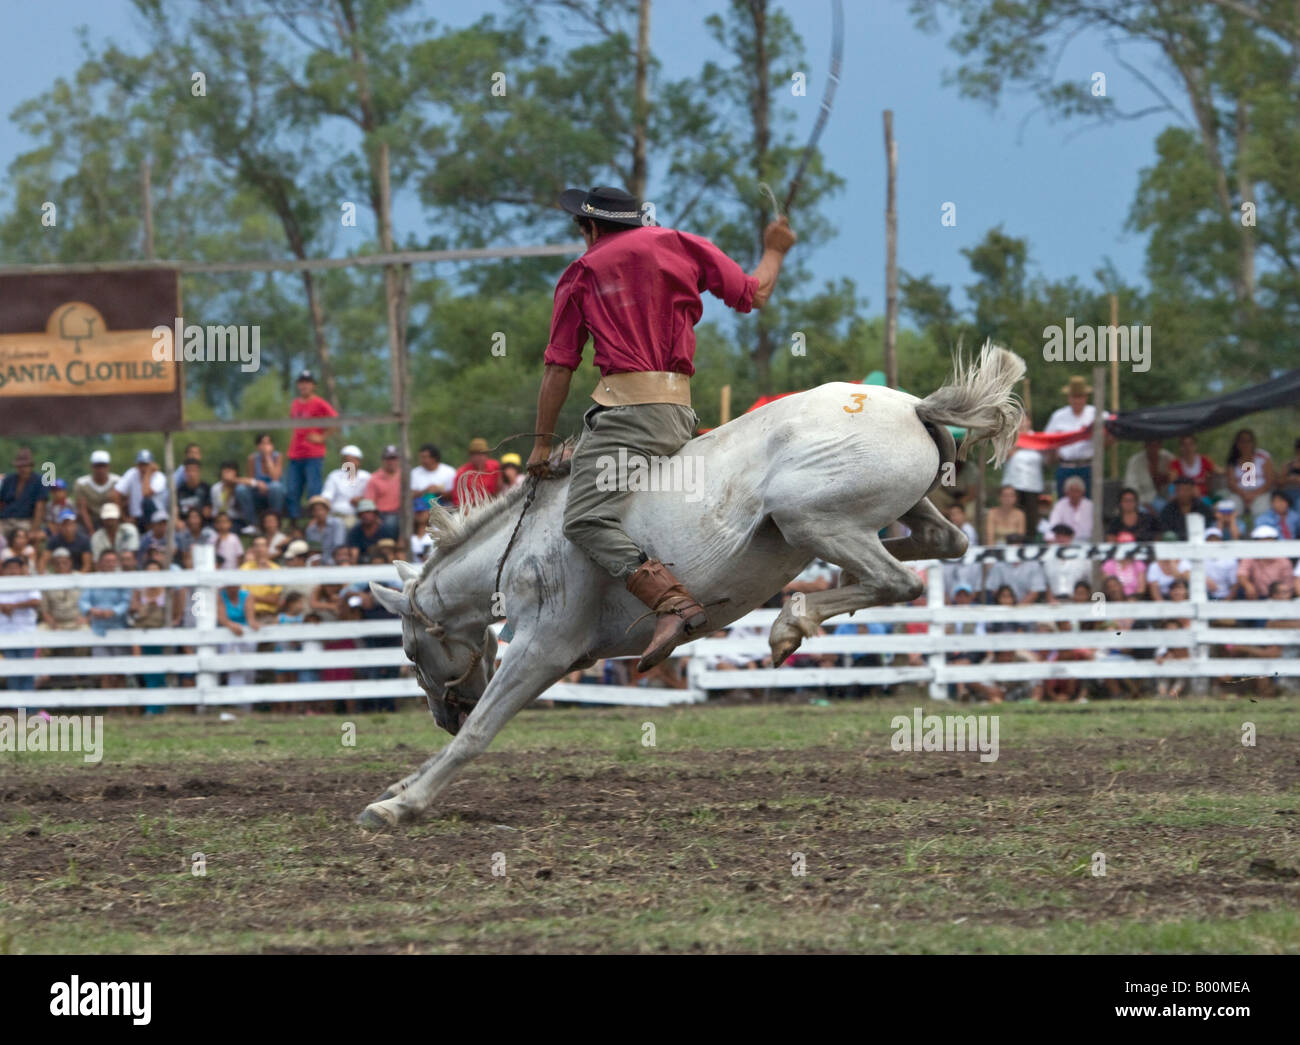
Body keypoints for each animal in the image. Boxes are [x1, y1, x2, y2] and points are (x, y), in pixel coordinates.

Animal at [360, 342, 1025, 828]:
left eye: (409, 649)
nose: (442, 715)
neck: (526, 545)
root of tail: (914, 408)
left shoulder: (542, 649)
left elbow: (481, 730)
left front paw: (397, 804)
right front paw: (401, 783)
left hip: (811, 517)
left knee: (897, 580)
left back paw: (792, 620)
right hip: (887, 511)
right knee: (942, 543)